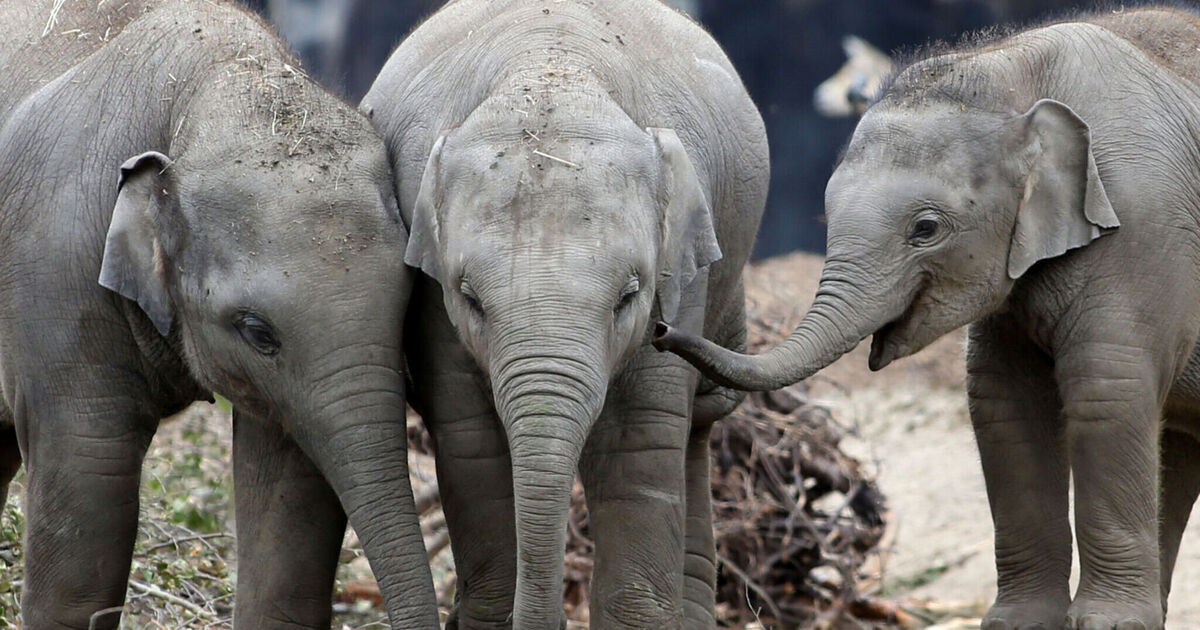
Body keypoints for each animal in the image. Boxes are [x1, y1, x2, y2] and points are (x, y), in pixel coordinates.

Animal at [361, 0, 769, 626]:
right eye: (469, 298)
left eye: (630, 294)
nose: (664, 330)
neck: (551, 73)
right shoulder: (426, 281)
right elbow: (468, 435)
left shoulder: (683, 270)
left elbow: (638, 438)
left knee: (698, 423)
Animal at [655, 7, 1200, 630]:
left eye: (926, 229)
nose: (660, 329)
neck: (1012, 72)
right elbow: (1003, 404)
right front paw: (1018, 623)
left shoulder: (1144, 230)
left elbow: (1107, 392)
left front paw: (1108, 624)